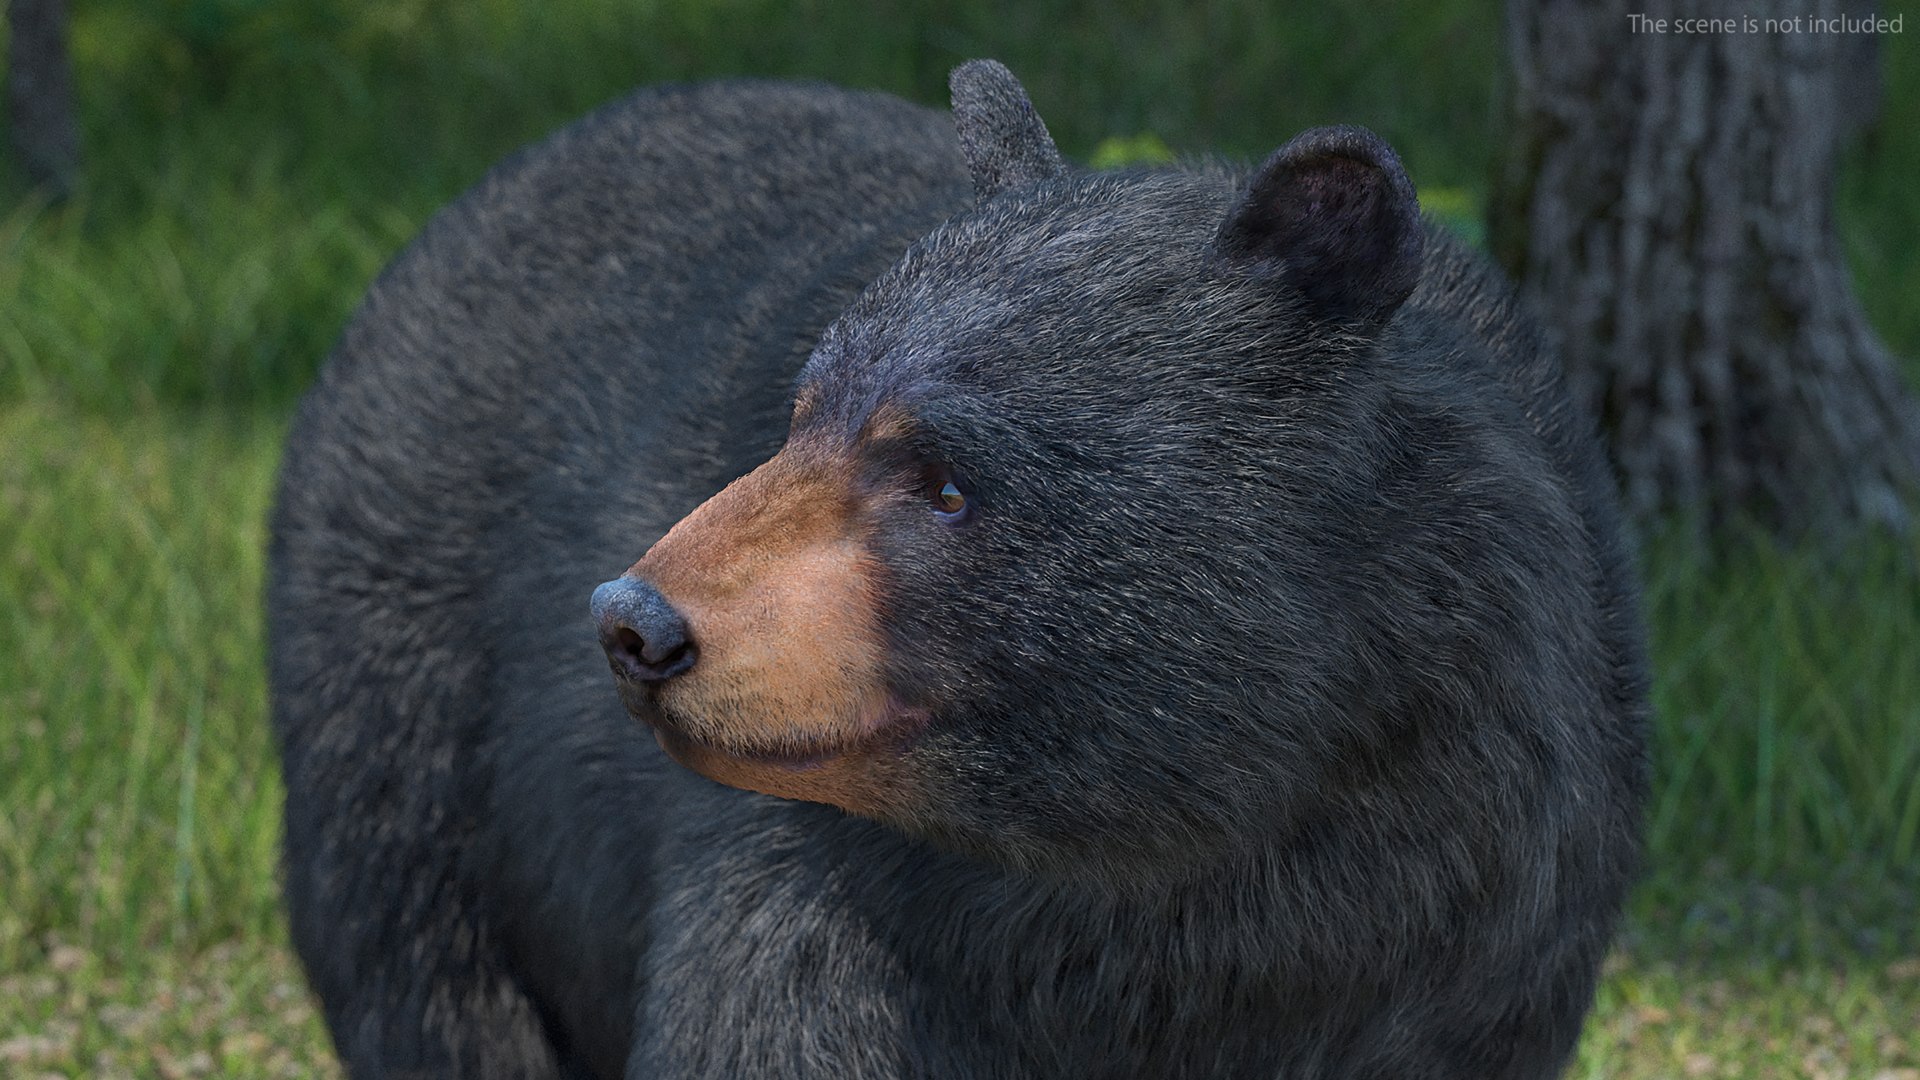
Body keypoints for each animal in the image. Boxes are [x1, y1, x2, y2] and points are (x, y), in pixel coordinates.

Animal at [267, 60, 1648, 1080]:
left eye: (944, 480)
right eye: (799, 416)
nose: (636, 623)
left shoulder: (1478, 906)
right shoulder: (837, 911)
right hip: (404, 723)